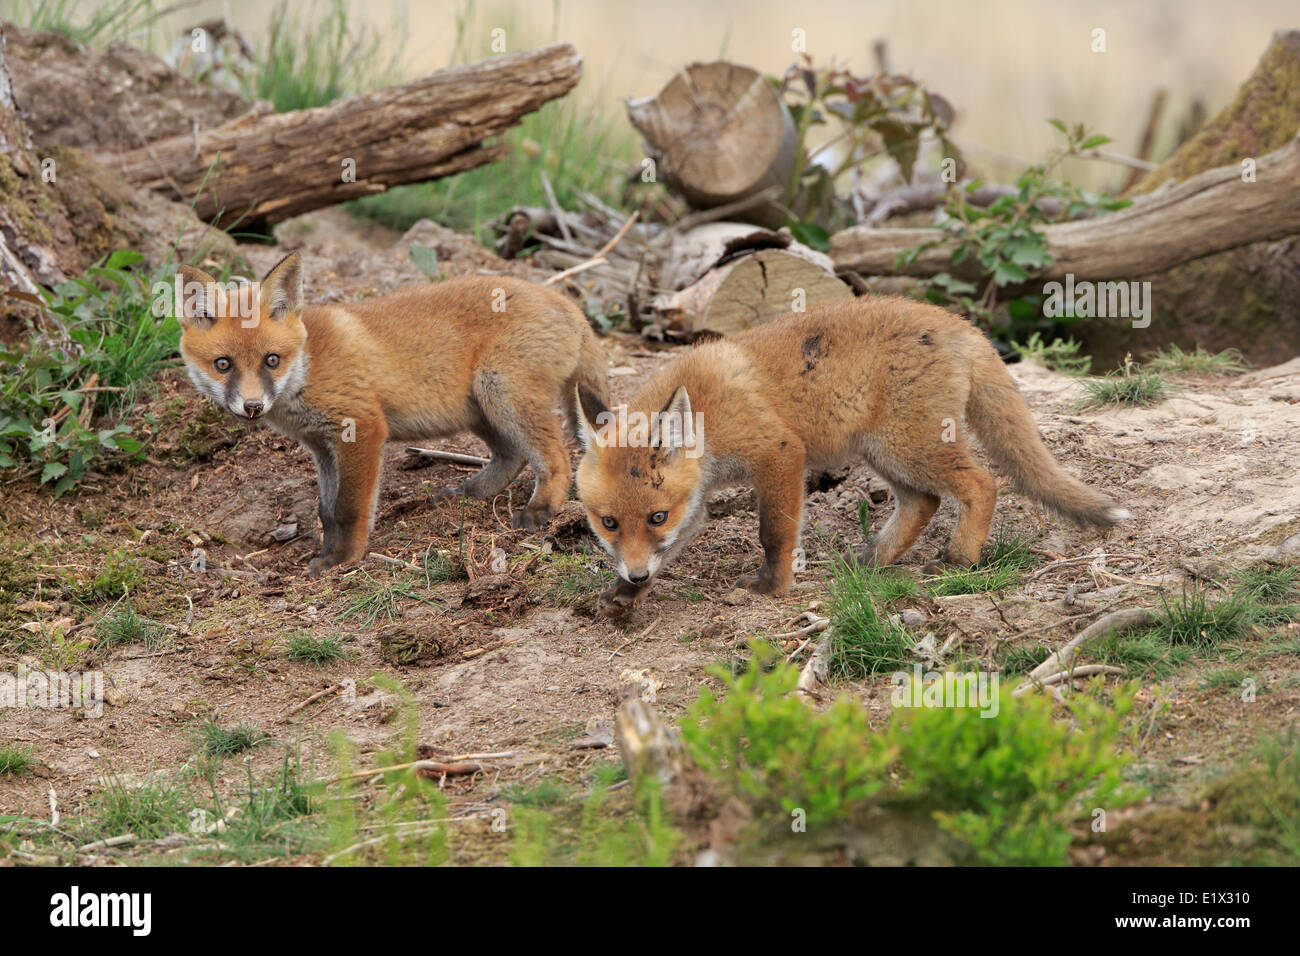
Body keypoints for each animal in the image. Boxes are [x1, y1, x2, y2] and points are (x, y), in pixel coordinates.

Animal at [175, 252, 608, 575]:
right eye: (223, 364)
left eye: (271, 360)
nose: (252, 407)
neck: (308, 367)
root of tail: (567, 303)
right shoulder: (321, 446)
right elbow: (326, 511)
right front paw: (328, 550)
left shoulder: (361, 429)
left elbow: (349, 508)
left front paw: (342, 559)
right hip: (480, 409)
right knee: (513, 455)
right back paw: (469, 494)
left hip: (500, 392)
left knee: (556, 457)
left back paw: (540, 511)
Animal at [574, 295, 1129, 618]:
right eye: (607, 522)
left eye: (655, 515)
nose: (635, 576)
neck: (709, 415)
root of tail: (959, 322)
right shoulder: (697, 496)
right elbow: (672, 548)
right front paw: (626, 596)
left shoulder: (780, 455)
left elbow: (774, 534)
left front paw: (771, 588)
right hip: (883, 454)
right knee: (924, 503)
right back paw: (875, 559)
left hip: (910, 447)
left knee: (981, 484)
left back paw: (959, 559)